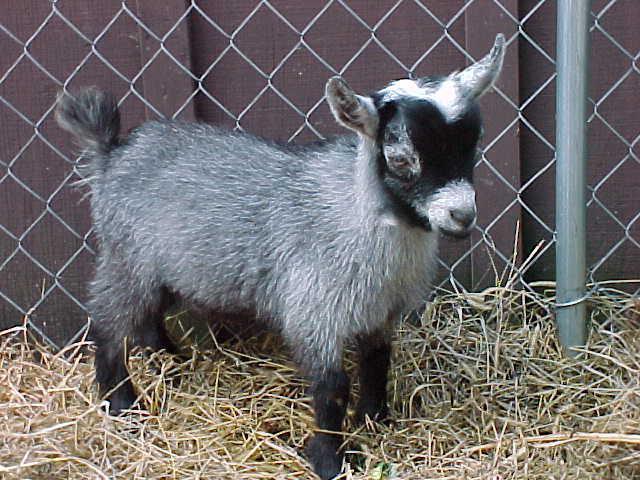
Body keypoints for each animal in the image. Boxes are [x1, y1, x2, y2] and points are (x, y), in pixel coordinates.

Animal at [56, 34, 504, 480]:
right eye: (401, 158)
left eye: (473, 144)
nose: (462, 216)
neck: (355, 213)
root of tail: (111, 153)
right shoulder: (314, 312)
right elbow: (332, 387)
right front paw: (330, 460)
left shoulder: (380, 310)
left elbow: (377, 361)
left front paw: (376, 419)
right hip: (126, 258)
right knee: (108, 323)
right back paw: (120, 402)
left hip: (160, 268)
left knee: (147, 317)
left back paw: (172, 364)